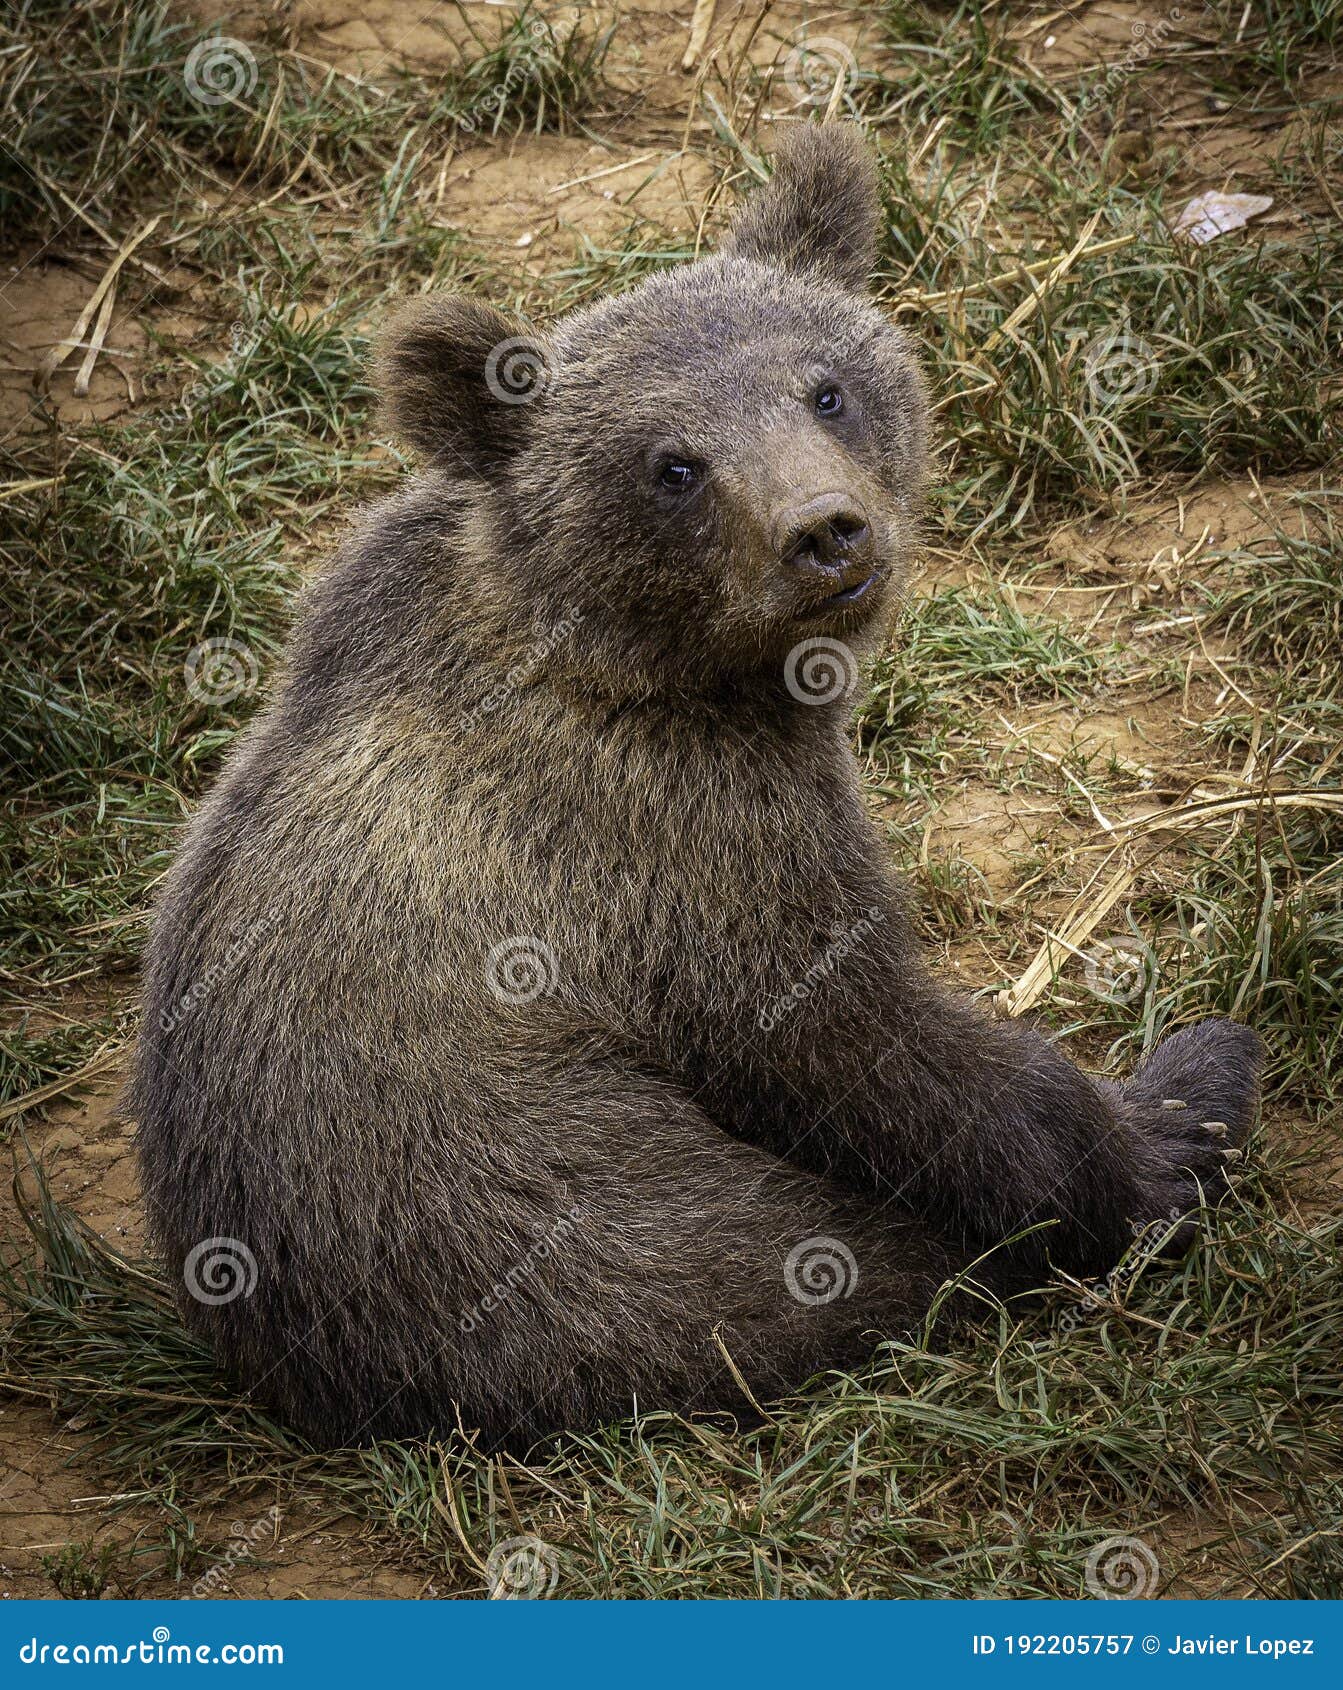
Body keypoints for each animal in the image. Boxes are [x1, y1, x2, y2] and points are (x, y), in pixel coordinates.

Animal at [132, 124, 1263, 1450]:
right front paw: (1176, 1108)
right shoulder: (675, 841)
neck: (656, 665)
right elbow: (857, 1040)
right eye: (672, 463)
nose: (824, 531)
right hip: (581, 1234)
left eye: (823, 386)